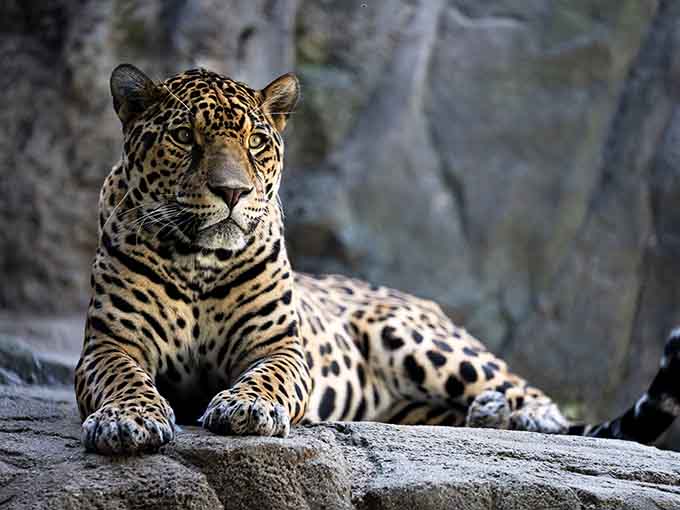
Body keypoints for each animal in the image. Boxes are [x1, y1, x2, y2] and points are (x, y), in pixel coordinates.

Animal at [75, 63, 680, 454]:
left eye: (256, 143)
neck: (200, 260)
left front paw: (247, 408)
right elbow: (122, 377)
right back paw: (490, 413)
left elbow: (267, 377)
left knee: (532, 393)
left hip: (415, 337)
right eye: (183, 136)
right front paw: (127, 420)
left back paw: (520, 411)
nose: (232, 192)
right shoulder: (109, 343)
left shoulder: (280, 346)